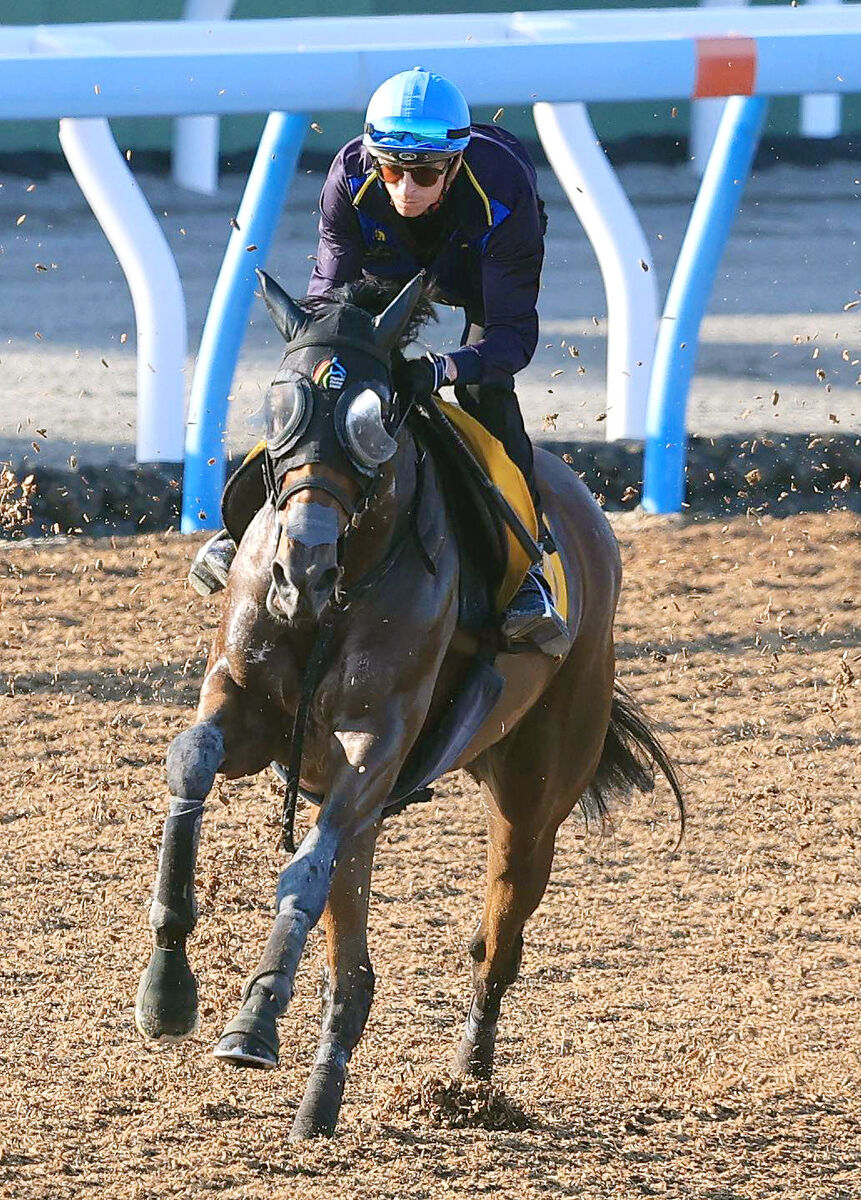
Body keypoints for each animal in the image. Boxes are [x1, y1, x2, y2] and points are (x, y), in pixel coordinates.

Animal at [135, 270, 683, 1141]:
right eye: (278, 407)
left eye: (370, 421)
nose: (300, 563)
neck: (338, 589)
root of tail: (586, 508)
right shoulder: (244, 701)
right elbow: (192, 762)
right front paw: (165, 988)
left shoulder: (375, 742)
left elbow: (303, 867)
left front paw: (253, 1019)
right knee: (353, 967)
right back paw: (321, 1099)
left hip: (536, 786)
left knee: (495, 942)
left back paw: (468, 1085)